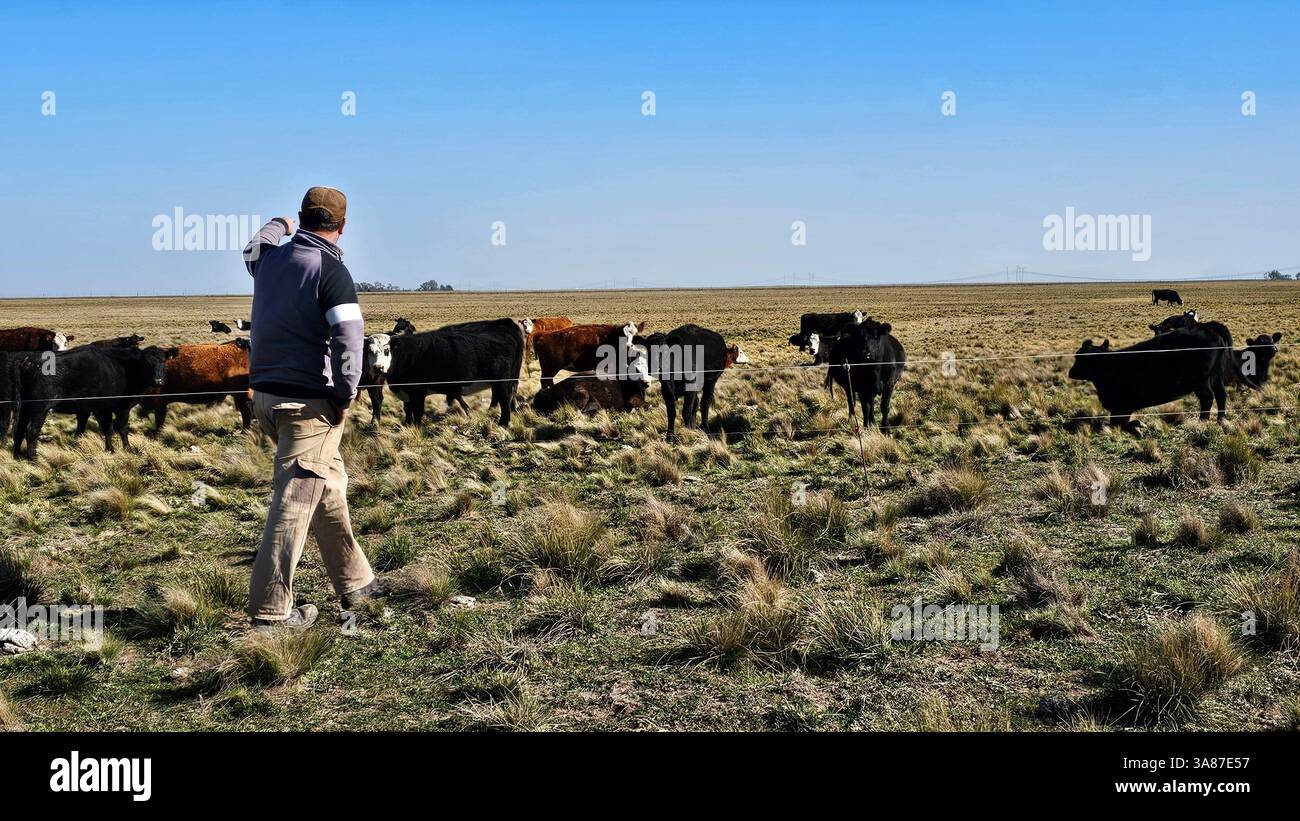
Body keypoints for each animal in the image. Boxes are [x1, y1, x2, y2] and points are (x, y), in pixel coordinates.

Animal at [11, 345, 168, 460]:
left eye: (163, 362)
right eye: (147, 363)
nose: (159, 381)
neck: (124, 367)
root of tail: (29, 361)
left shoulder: (91, 409)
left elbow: (89, 429)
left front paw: (109, 449)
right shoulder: (120, 408)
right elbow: (119, 428)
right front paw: (126, 449)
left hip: (25, 408)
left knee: (19, 429)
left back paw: (17, 456)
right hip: (40, 409)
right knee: (31, 431)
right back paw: (34, 458)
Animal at [383, 318, 525, 427]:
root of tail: (506, 323)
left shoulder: (418, 391)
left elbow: (417, 412)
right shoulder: (406, 392)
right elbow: (408, 410)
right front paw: (407, 425)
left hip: (502, 380)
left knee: (504, 398)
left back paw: (503, 423)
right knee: (502, 396)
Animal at [1067, 325, 1232, 433]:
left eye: (1086, 359)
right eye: (1077, 355)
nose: (1071, 372)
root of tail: (1209, 329)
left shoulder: (1121, 407)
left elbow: (1119, 424)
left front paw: (1138, 426)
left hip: (1201, 381)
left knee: (1207, 399)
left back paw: (1201, 422)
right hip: (1216, 376)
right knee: (1221, 395)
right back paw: (1220, 420)